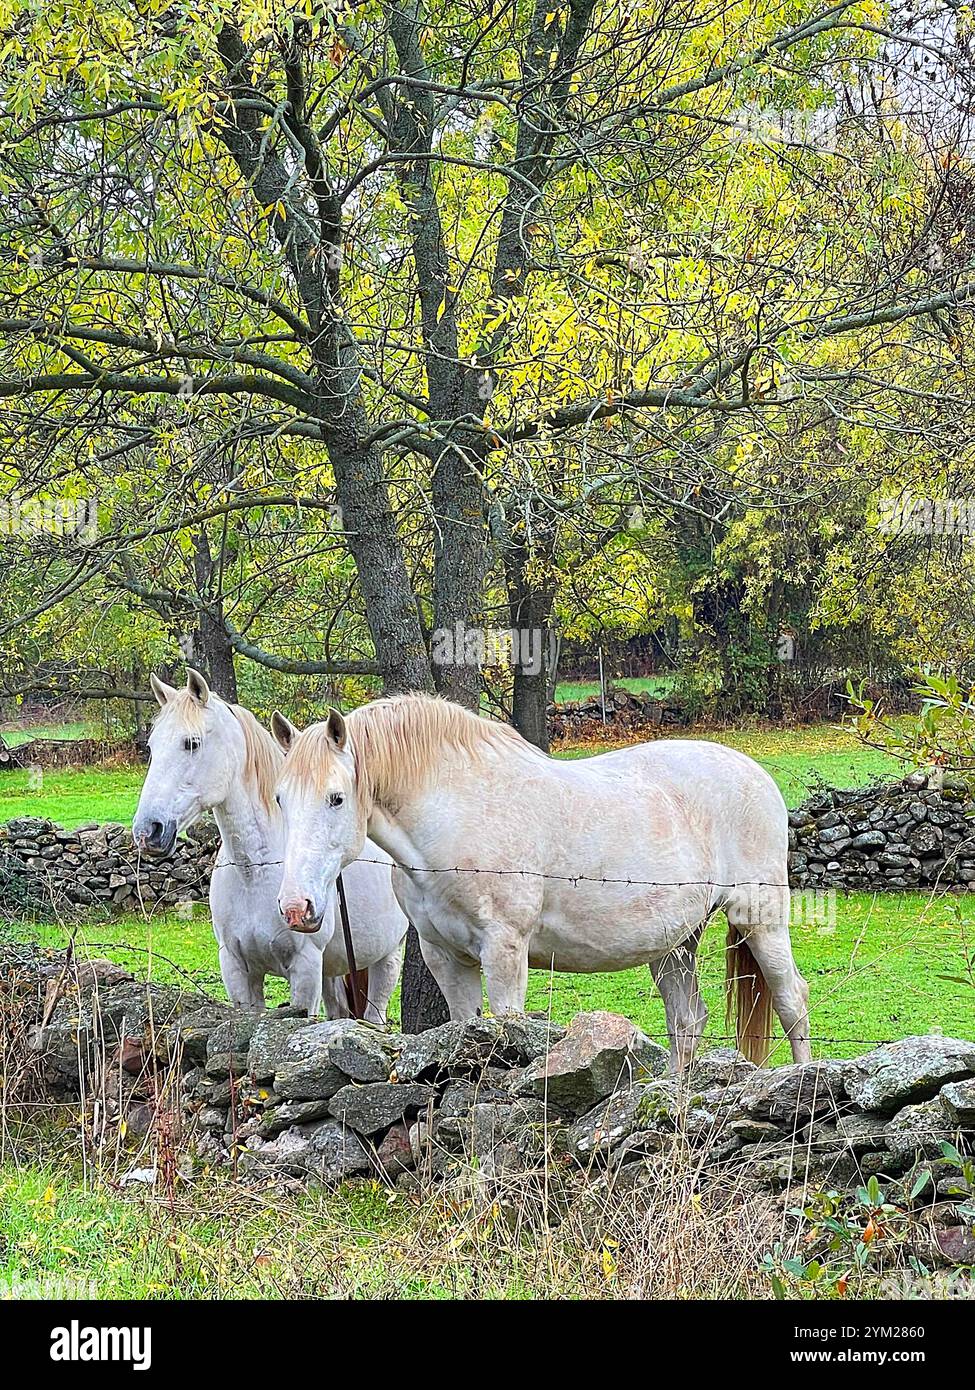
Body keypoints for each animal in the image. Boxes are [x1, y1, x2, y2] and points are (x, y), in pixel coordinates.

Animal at [132, 669, 406, 1023]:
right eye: (152, 746)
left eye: (191, 743)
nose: (147, 831)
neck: (256, 872)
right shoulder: (237, 971)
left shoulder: (305, 970)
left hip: (386, 958)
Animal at [269, 693, 811, 1070]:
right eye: (279, 799)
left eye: (336, 798)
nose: (297, 907)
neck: (459, 815)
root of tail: (756, 775)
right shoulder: (445, 957)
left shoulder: (505, 952)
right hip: (674, 944)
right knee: (687, 1020)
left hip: (760, 921)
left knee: (792, 1003)